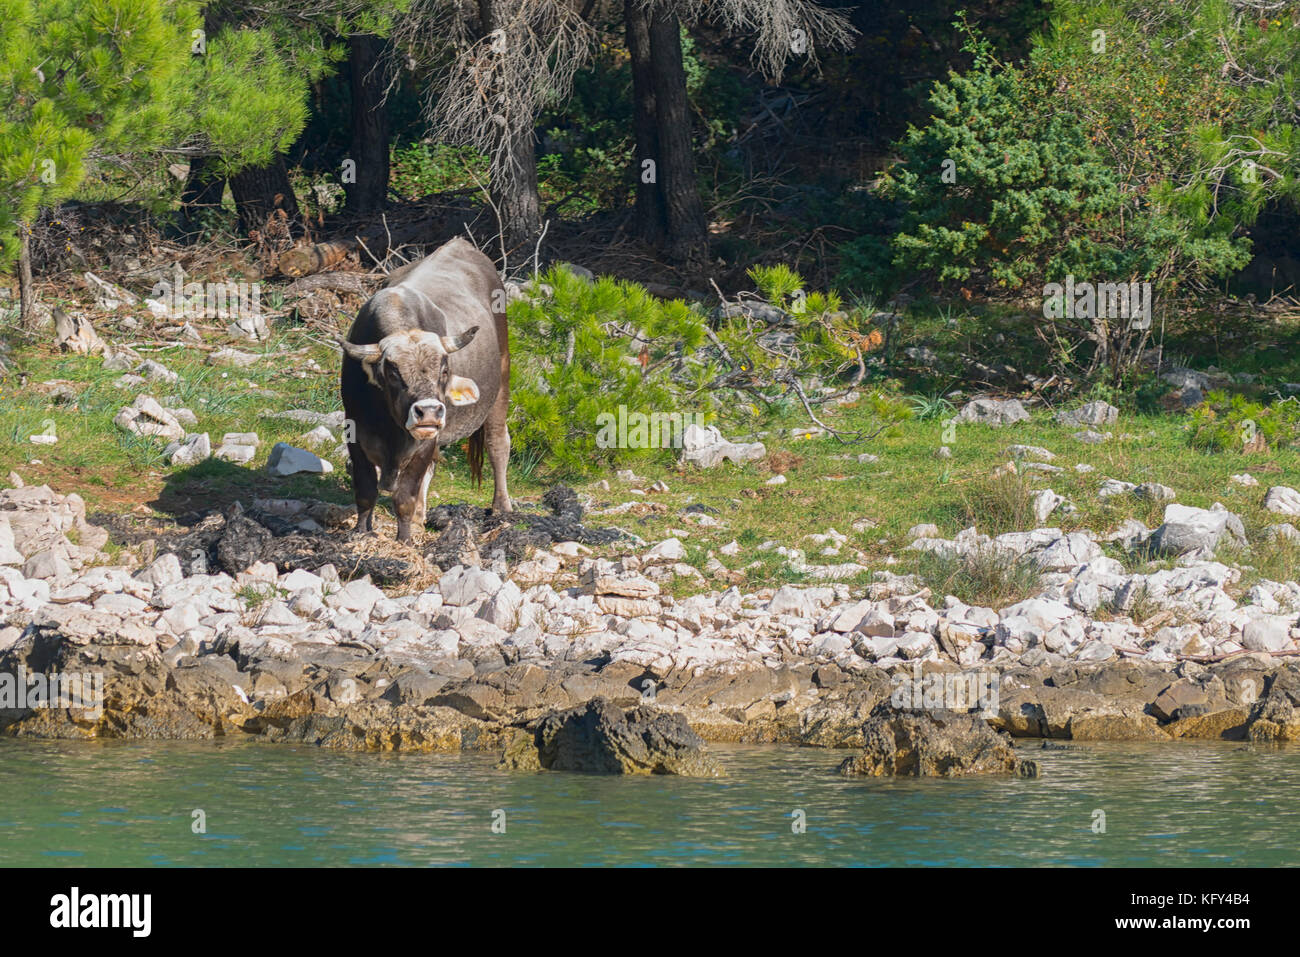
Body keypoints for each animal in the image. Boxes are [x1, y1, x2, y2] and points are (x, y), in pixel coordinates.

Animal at [339, 238, 511, 543]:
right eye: (393, 372)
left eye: (444, 371)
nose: (429, 412)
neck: (390, 430)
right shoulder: (355, 432)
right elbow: (366, 492)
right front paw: (361, 533)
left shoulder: (425, 443)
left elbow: (404, 496)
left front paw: (404, 540)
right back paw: (421, 517)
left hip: (501, 380)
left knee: (497, 443)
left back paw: (502, 507)